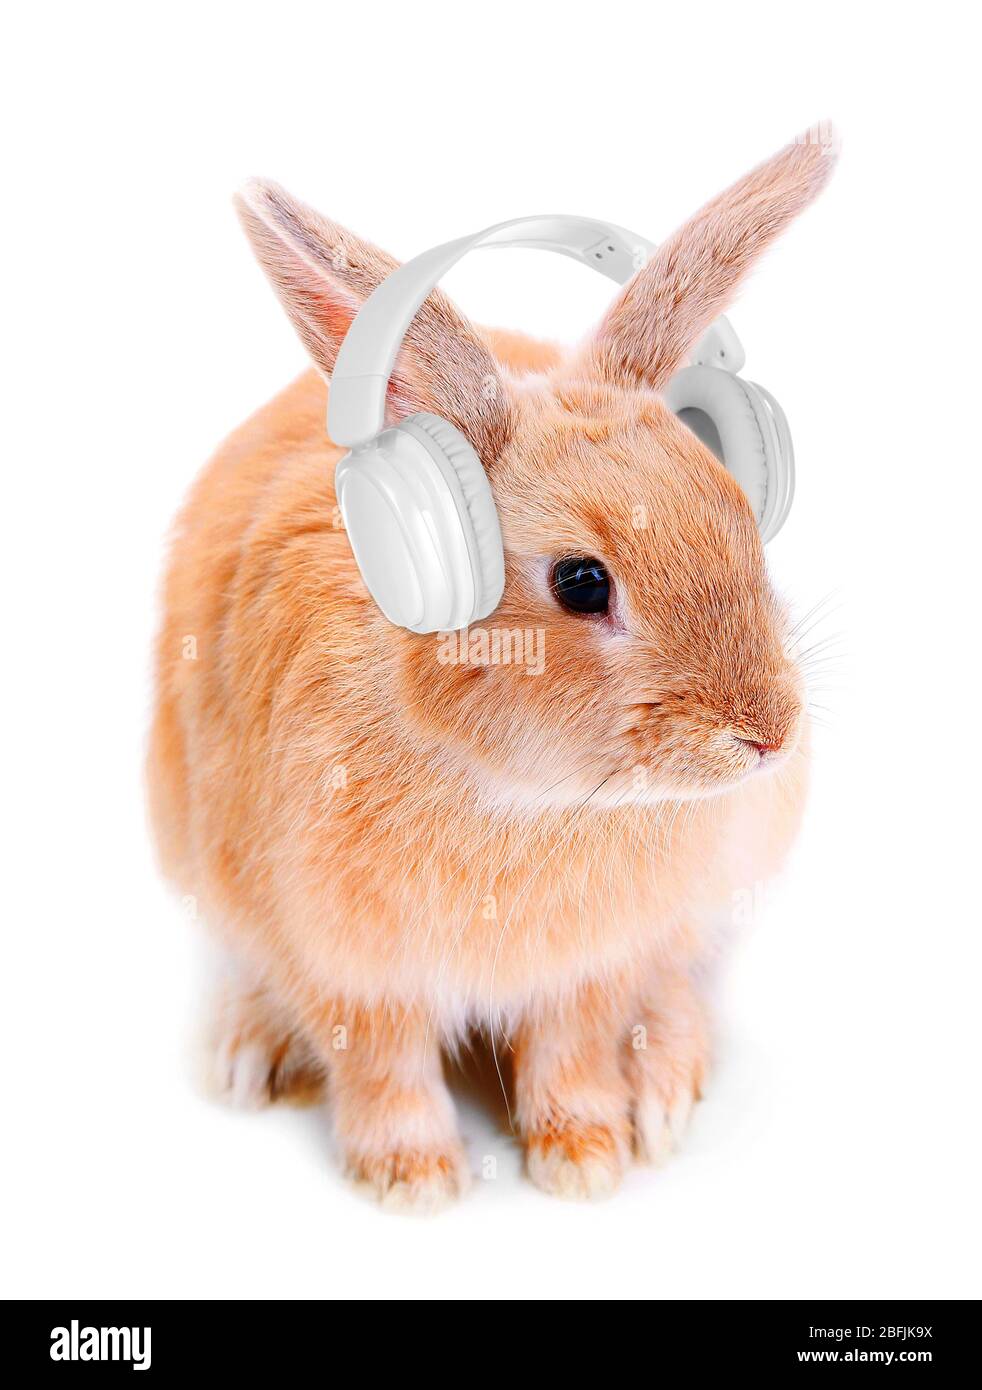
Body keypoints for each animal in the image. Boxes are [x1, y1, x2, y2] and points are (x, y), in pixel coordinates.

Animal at [148, 129, 836, 1211]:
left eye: (741, 518)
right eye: (582, 583)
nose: (768, 735)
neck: (521, 791)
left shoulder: (592, 968)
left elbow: (572, 1049)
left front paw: (584, 1160)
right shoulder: (341, 962)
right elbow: (381, 1063)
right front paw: (414, 1179)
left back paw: (665, 1090)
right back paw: (249, 1058)